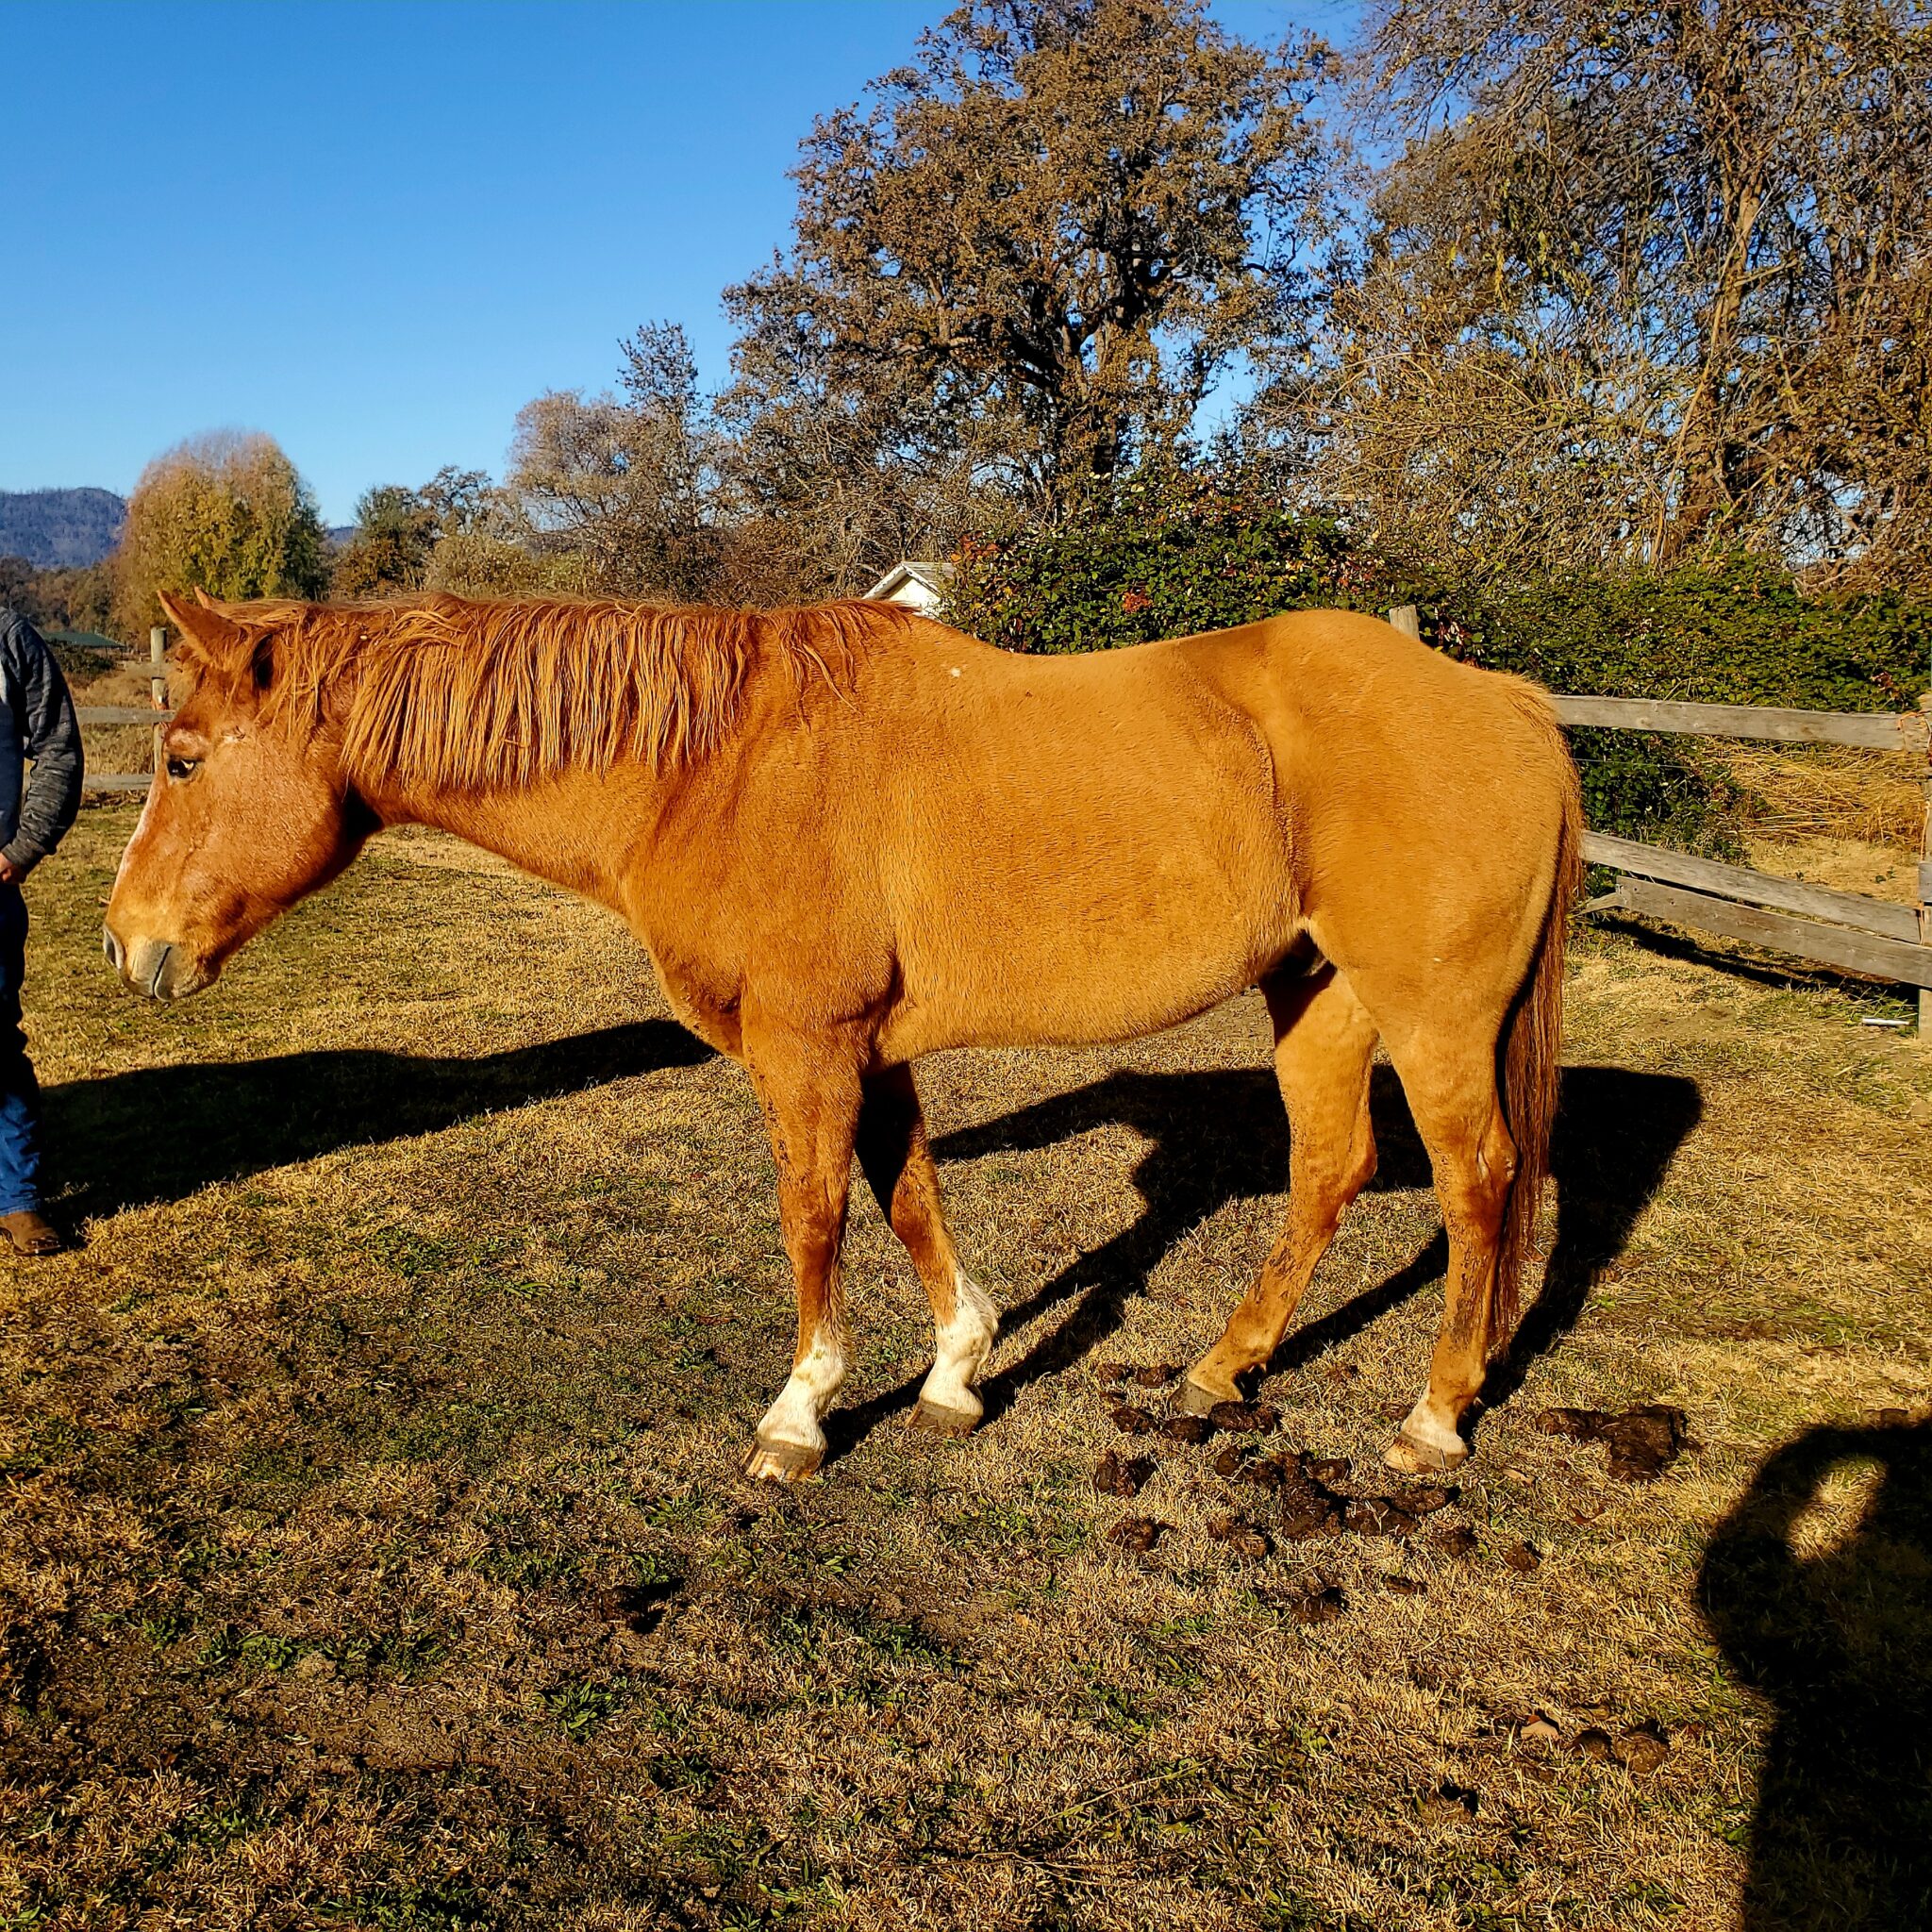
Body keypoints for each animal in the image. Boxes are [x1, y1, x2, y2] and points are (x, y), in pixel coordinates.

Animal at [105, 588, 1582, 1483]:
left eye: (182, 758)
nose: (128, 947)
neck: (706, 762)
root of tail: (1503, 698)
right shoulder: (872, 1048)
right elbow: (909, 1192)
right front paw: (958, 1371)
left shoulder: (806, 1045)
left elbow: (813, 1212)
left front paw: (800, 1413)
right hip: (1316, 994)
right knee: (1327, 1172)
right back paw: (1220, 1371)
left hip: (1432, 1018)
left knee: (1476, 1187)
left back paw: (1433, 1417)